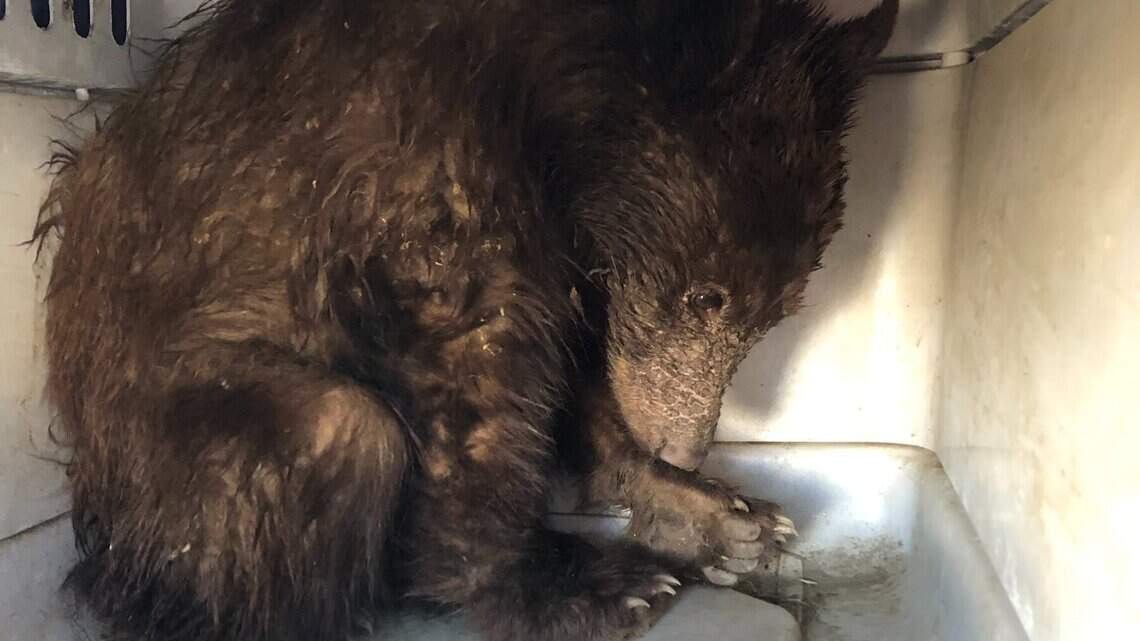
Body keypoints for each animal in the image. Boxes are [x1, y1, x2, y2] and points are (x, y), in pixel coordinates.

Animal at [34, 1, 896, 641]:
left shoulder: (581, 238)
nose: (684, 445)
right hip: (171, 455)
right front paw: (583, 585)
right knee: (342, 429)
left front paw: (708, 508)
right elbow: (479, 363)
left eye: (778, 309)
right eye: (706, 296)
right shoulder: (429, 163)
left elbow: (582, 347)